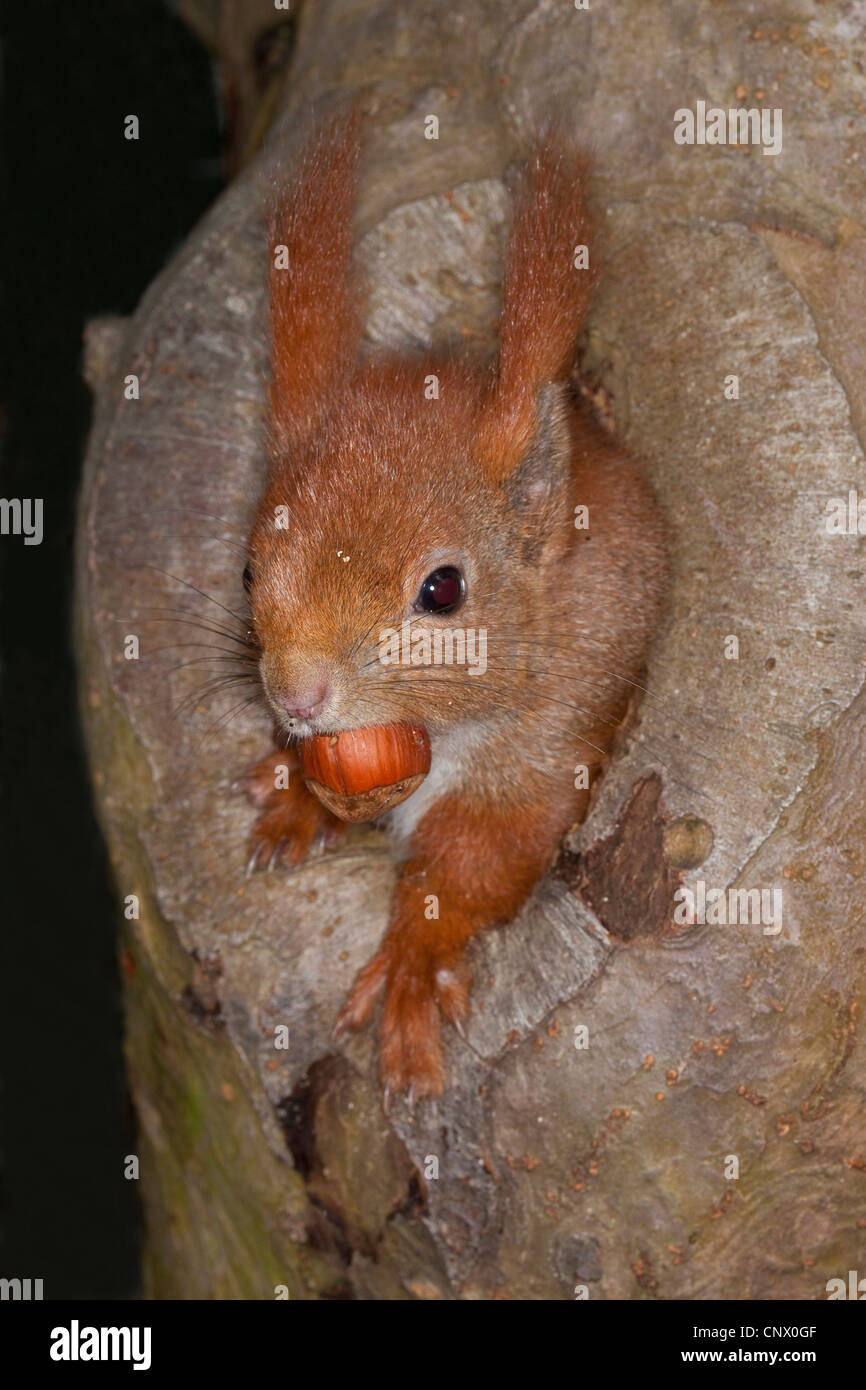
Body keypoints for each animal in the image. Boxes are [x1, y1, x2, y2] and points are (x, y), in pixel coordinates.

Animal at [237, 112, 667, 1102]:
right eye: (245, 572)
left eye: (443, 590)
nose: (296, 697)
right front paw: (298, 797)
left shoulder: (553, 742)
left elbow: (477, 860)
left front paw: (411, 962)